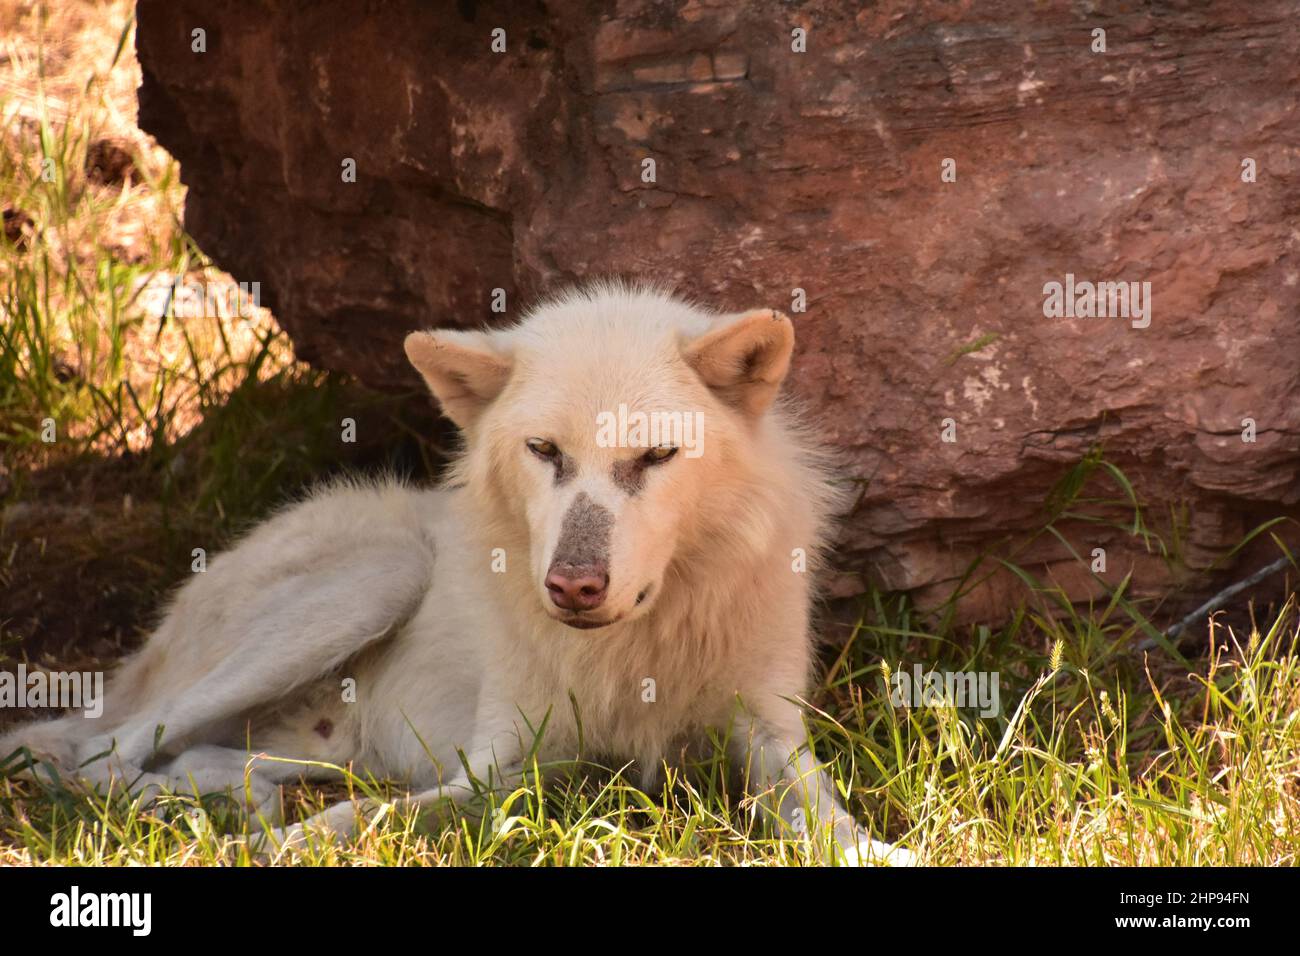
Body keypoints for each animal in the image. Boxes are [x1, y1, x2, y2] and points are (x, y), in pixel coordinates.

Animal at [1, 283, 913, 865]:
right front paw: (279, 847)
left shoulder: (771, 741)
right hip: (377, 578)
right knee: (93, 755)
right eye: (545, 451)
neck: (637, 650)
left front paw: (881, 851)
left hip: (316, 735)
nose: (572, 587)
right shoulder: (502, 765)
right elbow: (375, 818)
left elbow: (827, 816)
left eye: (655, 457)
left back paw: (226, 802)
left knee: (194, 763)